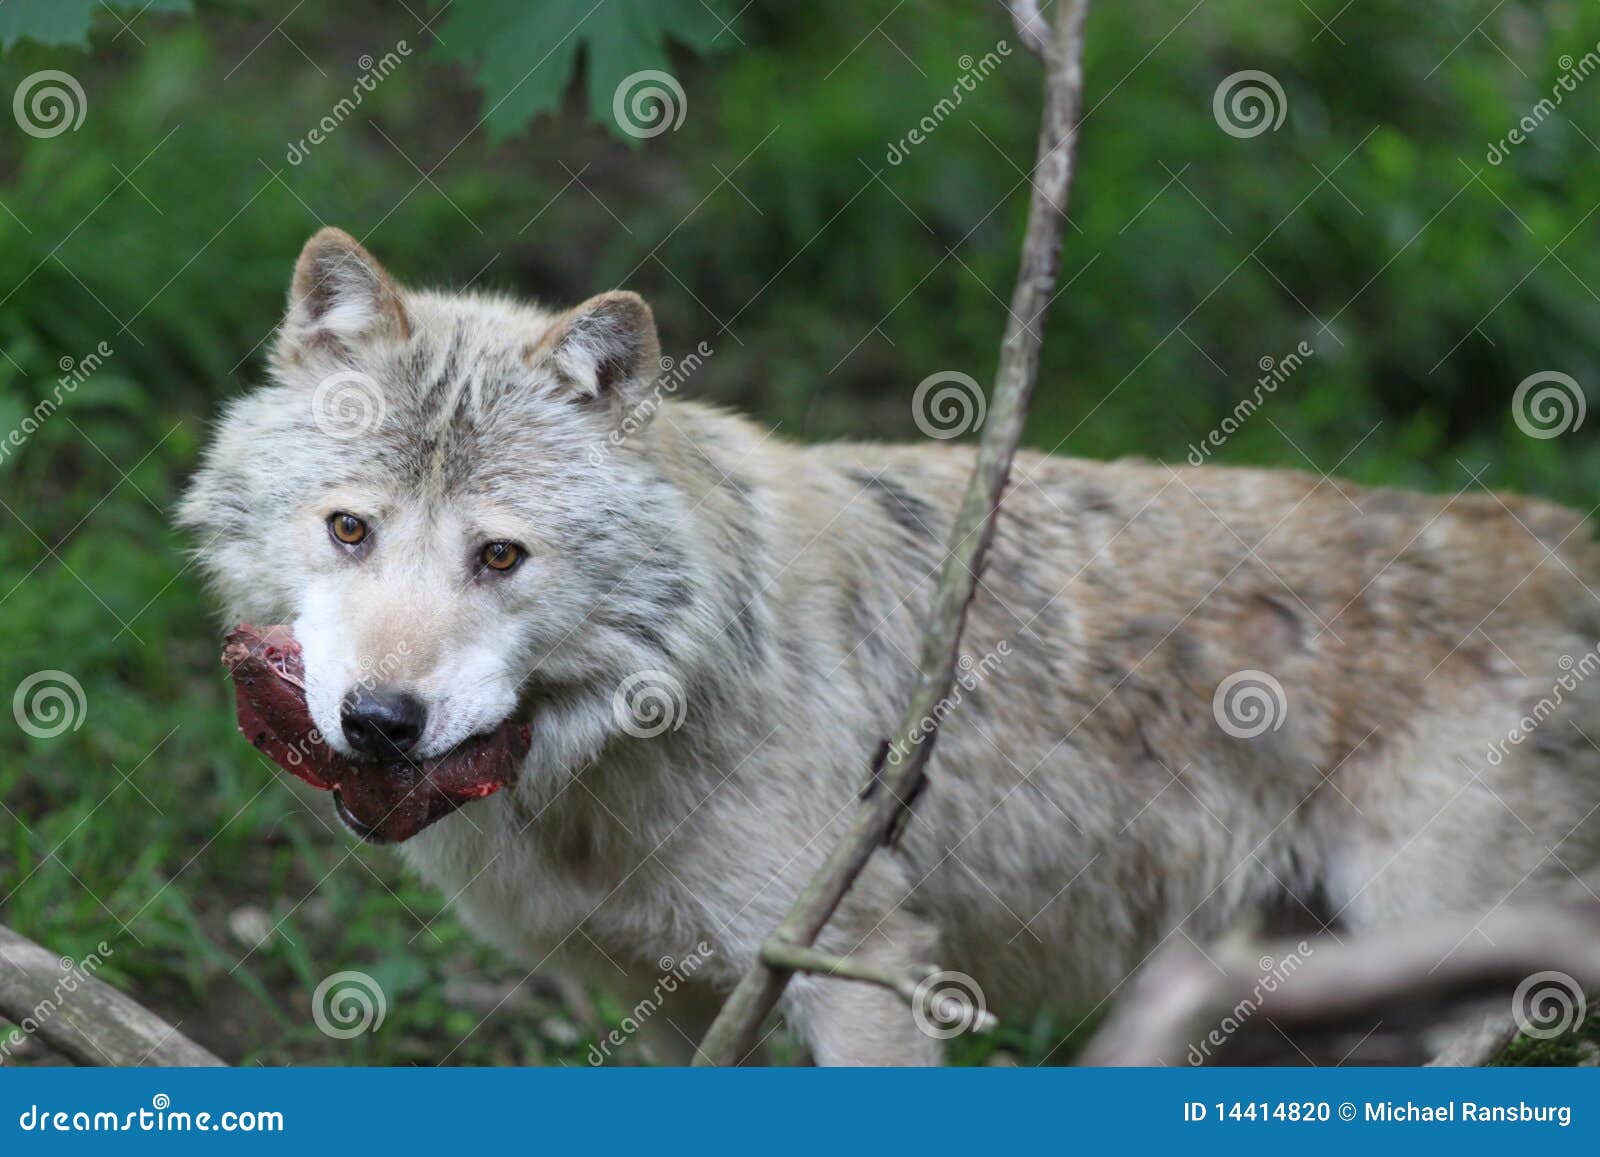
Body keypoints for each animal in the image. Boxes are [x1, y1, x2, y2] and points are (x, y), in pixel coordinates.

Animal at [180, 228, 1600, 1065]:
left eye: (499, 557)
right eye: (350, 529)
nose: (380, 720)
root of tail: (1548, 534)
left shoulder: (859, 967)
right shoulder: (663, 1000)